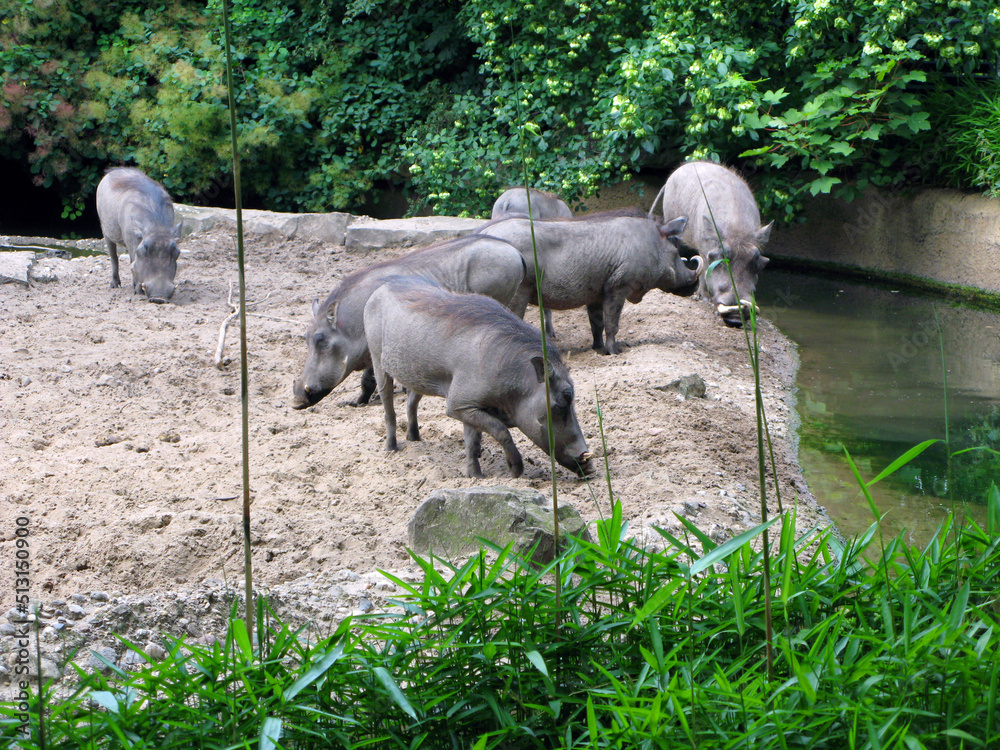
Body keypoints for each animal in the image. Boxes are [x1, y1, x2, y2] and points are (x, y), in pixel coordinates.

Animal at [96, 167, 182, 303]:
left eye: (176, 252)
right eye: (143, 250)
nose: (159, 298)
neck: (156, 226)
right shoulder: (132, 242)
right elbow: (132, 262)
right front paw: (138, 291)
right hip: (106, 232)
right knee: (114, 257)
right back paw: (115, 284)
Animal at [292, 235, 526, 409]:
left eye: (321, 339)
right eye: (306, 338)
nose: (296, 402)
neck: (350, 326)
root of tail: (515, 251)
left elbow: (369, 379)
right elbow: (367, 381)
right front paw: (357, 403)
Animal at [364, 277, 594, 478]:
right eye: (564, 399)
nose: (590, 468)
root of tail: (379, 289)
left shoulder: (468, 406)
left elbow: (472, 440)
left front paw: (475, 475)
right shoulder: (459, 406)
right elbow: (501, 431)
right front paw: (515, 470)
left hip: (417, 376)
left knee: (411, 401)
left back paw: (414, 438)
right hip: (378, 363)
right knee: (388, 408)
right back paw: (391, 448)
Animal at [477, 211, 703, 355]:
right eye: (675, 252)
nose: (694, 286)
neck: (652, 244)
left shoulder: (595, 294)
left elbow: (597, 323)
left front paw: (598, 349)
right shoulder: (618, 287)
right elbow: (612, 323)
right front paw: (614, 351)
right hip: (518, 294)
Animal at [650, 161, 772, 328]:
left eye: (756, 260)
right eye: (719, 258)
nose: (736, 317)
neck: (736, 229)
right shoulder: (704, 250)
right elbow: (704, 270)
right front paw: (704, 298)